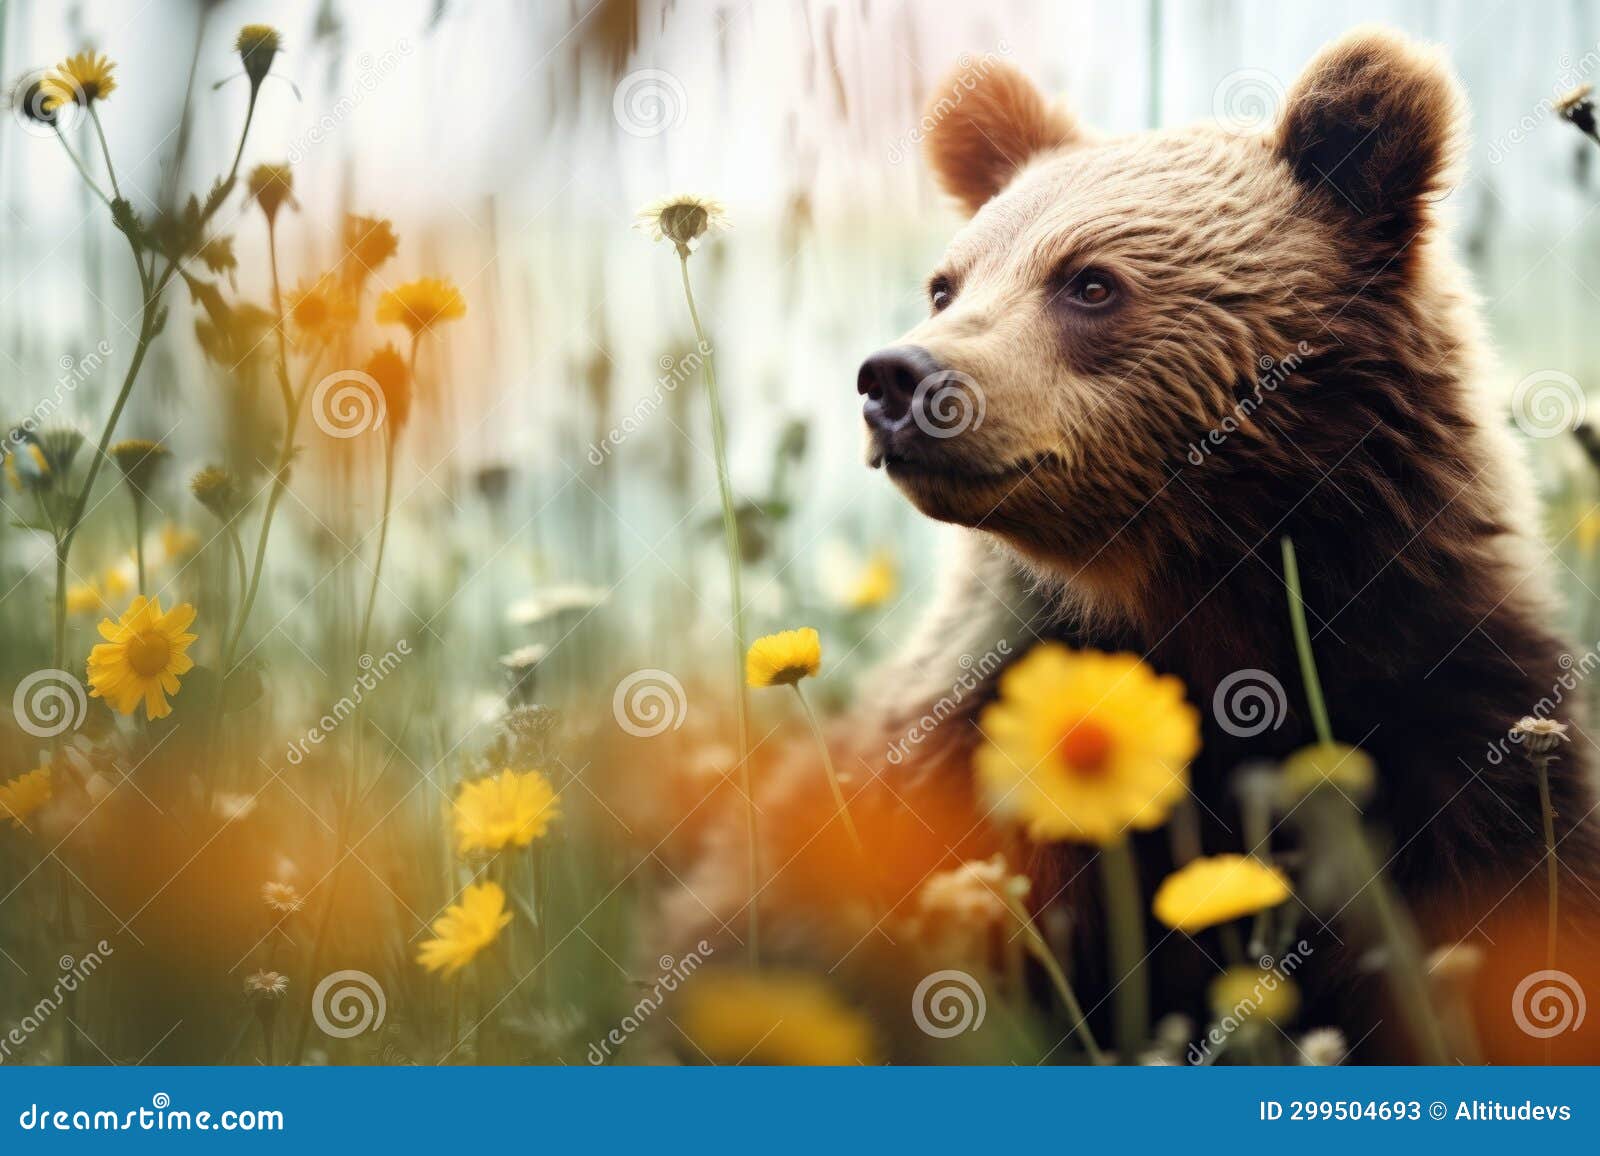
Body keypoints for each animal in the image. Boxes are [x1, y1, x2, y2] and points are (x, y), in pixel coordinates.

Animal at [667, 27, 1600, 1064]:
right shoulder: (972, 748)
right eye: (946, 283)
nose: (897, 378)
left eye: (1089, 281)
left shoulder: (1456, 707)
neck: (1200, 588)